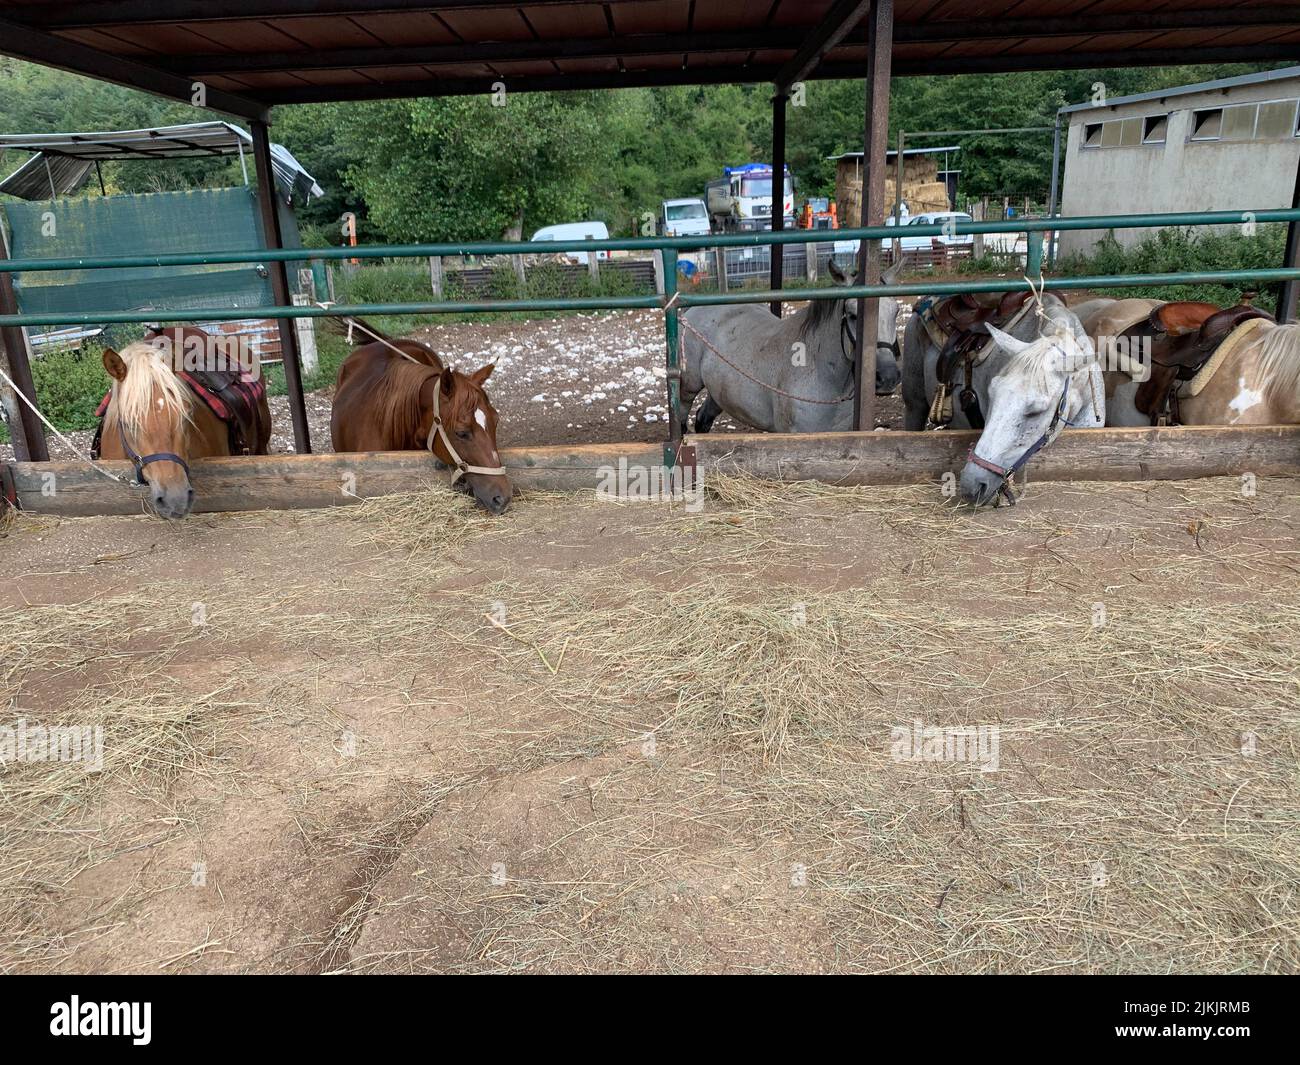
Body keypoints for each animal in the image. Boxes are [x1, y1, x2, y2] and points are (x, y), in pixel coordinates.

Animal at [678, 260, 903, 435]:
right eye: (853, 315)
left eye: (896, 312)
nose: (888, 377)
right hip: (688, 387)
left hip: (718, 393)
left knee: (703, 419)